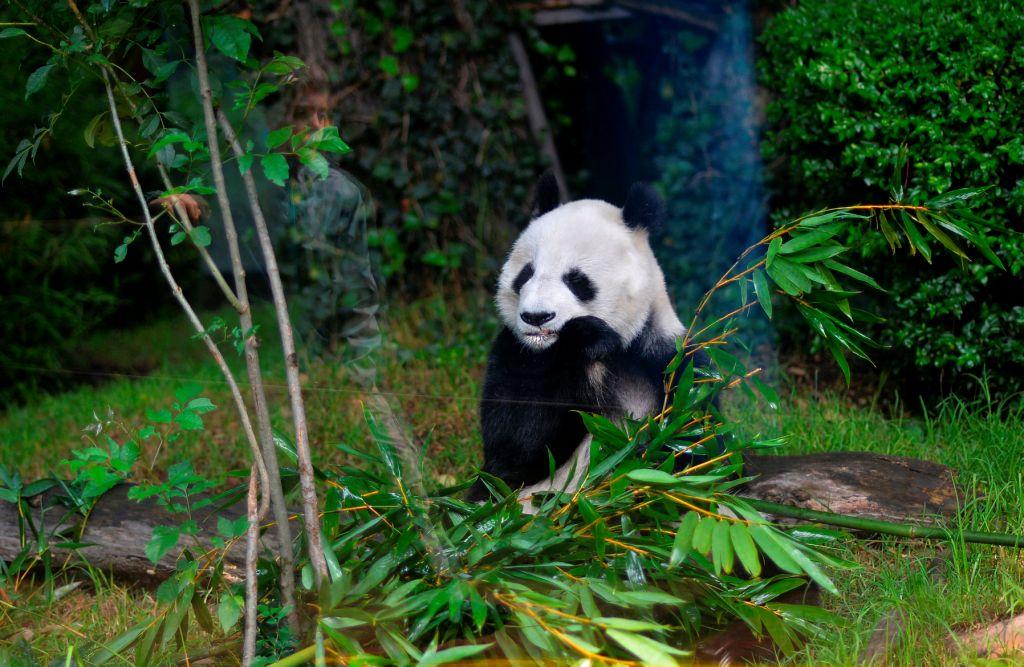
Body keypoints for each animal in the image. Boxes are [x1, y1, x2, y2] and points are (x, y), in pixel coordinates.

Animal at [468, 173, 708, 507]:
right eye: (526, 274)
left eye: (576, 280)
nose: (536, 316)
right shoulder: (513, 351)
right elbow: (512, 447)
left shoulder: (669, 361)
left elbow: (693, 440)